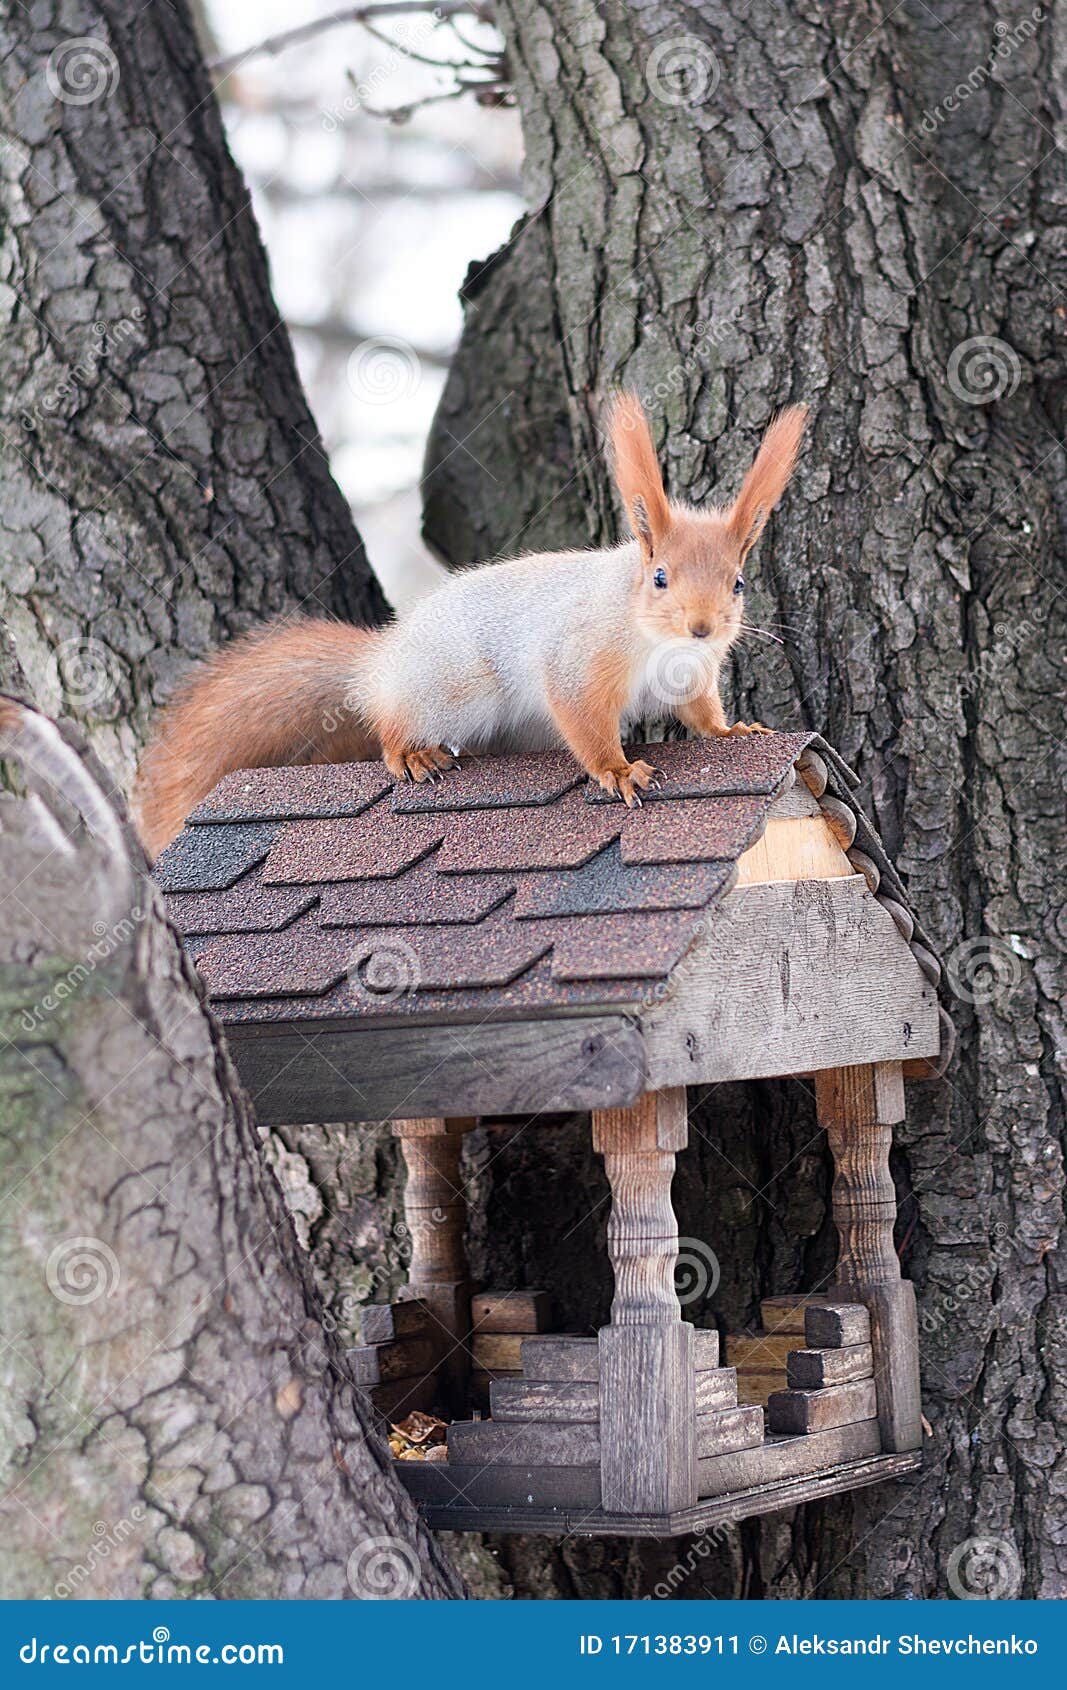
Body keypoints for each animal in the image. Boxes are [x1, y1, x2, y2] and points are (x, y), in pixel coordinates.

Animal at [133, 393, 808, 858]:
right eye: (660, 576)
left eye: (738, 583)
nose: (702, 628)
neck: (655, 638)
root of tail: (382, 660)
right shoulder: (578, 661)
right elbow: (583, 719)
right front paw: (617, 771)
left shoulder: (691, 675)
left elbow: (700, 714)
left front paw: (734, 730)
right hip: (451, 688)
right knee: (389, 723)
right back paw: (412, 754)